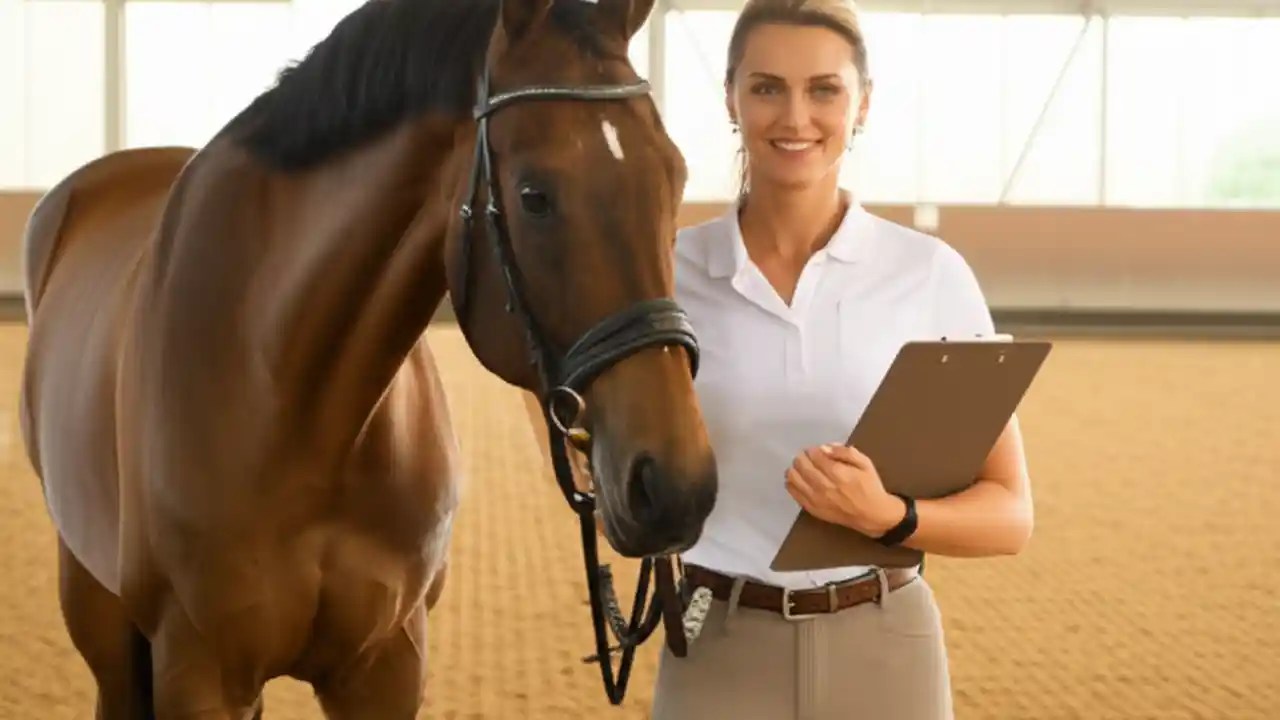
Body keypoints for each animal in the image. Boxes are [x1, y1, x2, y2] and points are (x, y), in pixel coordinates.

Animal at [17, 0, 719, 715]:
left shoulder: (387, 663)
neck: (290, 402)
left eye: (675, 177)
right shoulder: (201, 674)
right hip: (99, 615)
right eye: (534, 196)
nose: (676, 486)